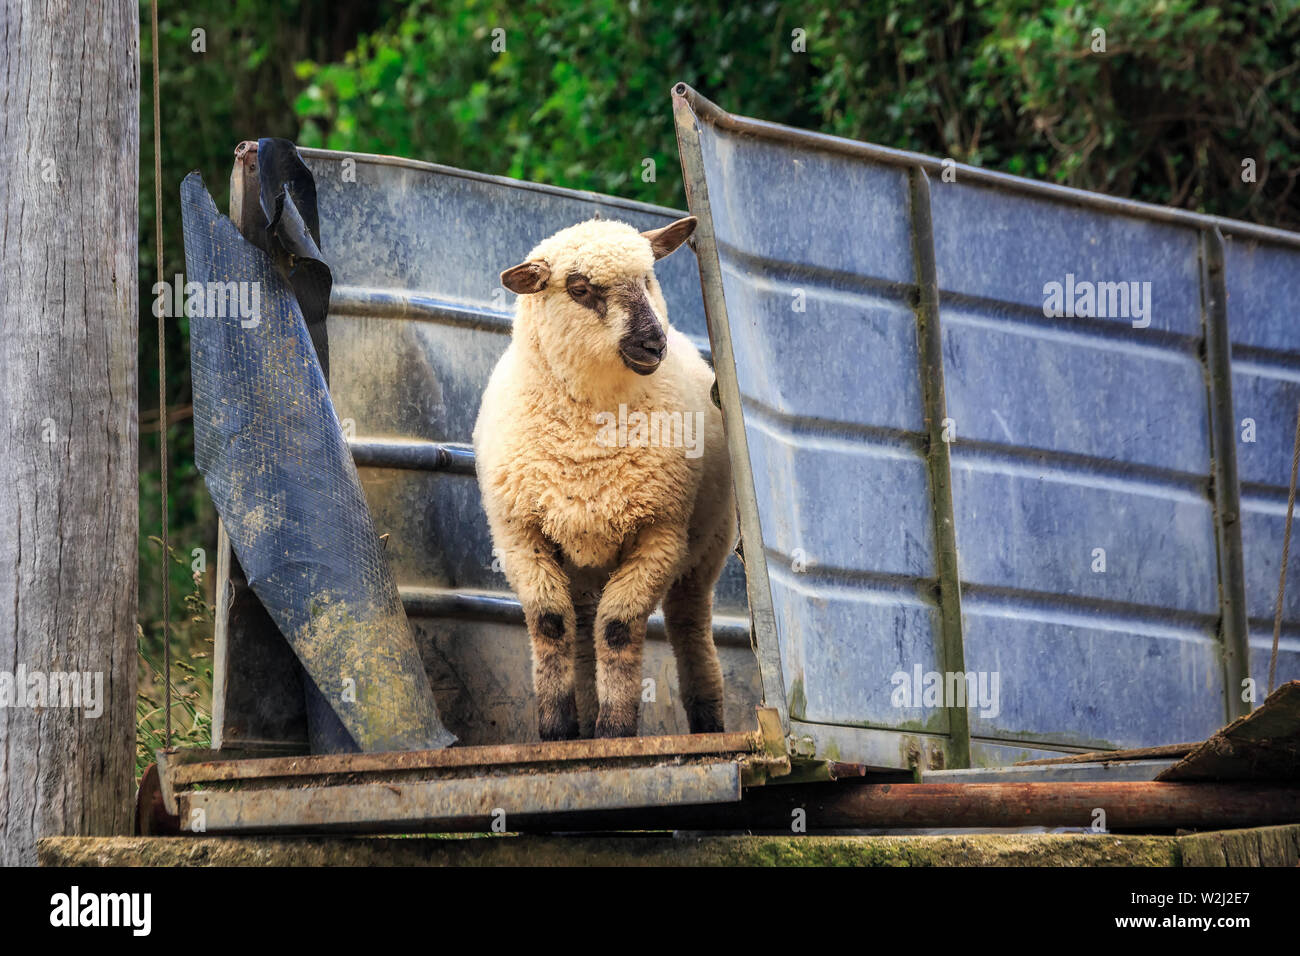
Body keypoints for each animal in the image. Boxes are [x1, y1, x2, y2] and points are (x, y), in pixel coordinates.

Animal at [473, 215, 736, 740]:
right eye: (580, 289)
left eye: (650, 277)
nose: (653, 344)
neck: (587, 440)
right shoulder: (520, 535)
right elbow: (551, 623)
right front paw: (556, 730)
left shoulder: (660, 535)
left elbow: (619, 629)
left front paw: (615, 729)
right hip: (580, 559)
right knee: (579, 626)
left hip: (706, 550)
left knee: (688, 626)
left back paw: (707, 721)